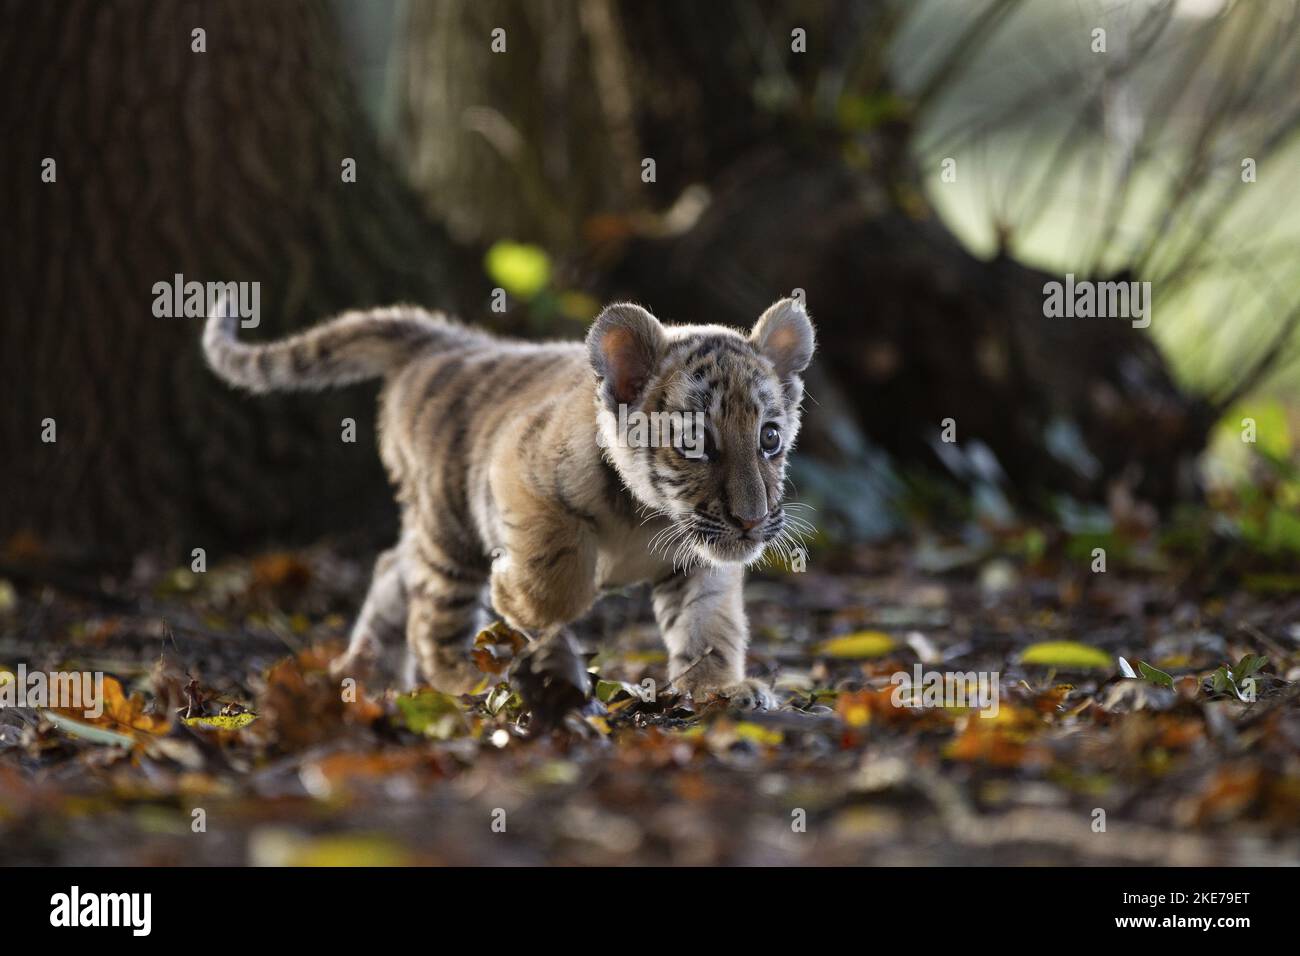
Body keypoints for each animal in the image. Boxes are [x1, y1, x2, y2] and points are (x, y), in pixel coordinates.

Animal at [203, 295, 815, 711]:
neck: (649, 514)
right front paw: (519, 603)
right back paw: (465, 677)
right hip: (449, 525)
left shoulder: (701, 560)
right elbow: (558, 569)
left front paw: (722, 689)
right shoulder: (519, 474)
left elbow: (709, 626)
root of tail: (446, 341)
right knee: (432, 617)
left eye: (769, 438)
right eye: (696, 443)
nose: (752, 520)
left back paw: (367, 672)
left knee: (393, 569)